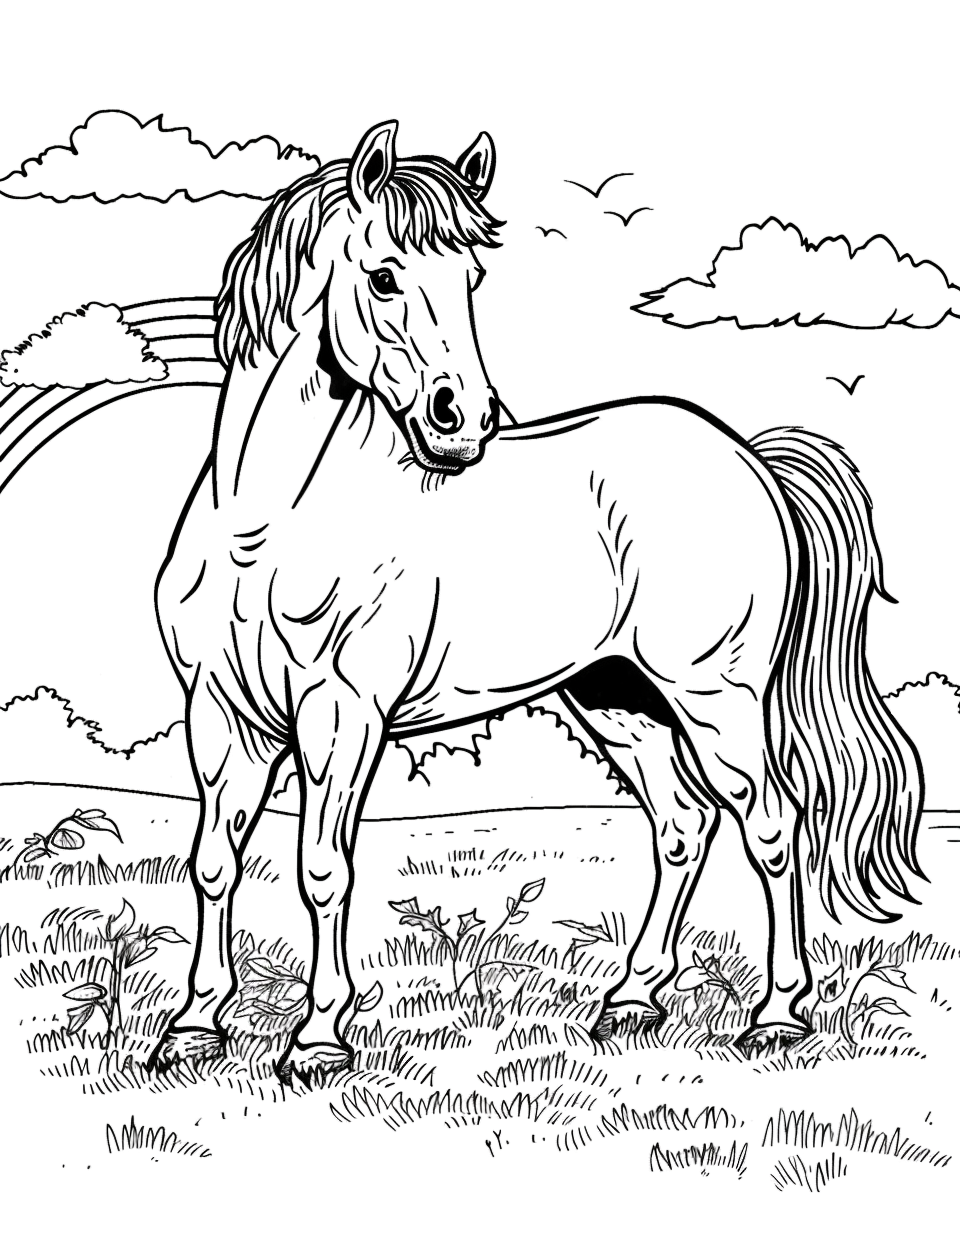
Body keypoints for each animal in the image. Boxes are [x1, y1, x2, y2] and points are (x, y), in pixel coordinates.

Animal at [148, 120, 924, 1082]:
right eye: (384, 276)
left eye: (471, 279)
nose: (462, 422)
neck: (267, 524)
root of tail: (747, 456)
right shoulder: (222, 714)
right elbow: (214, 862)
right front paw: (191, 1028)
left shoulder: (342, 712)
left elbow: (324, 869)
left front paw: (320, 1038)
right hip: (616, 696)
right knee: (681, 824)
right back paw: (629, 1001)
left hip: (716, 696)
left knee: (771, 822)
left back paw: (778, 1016)